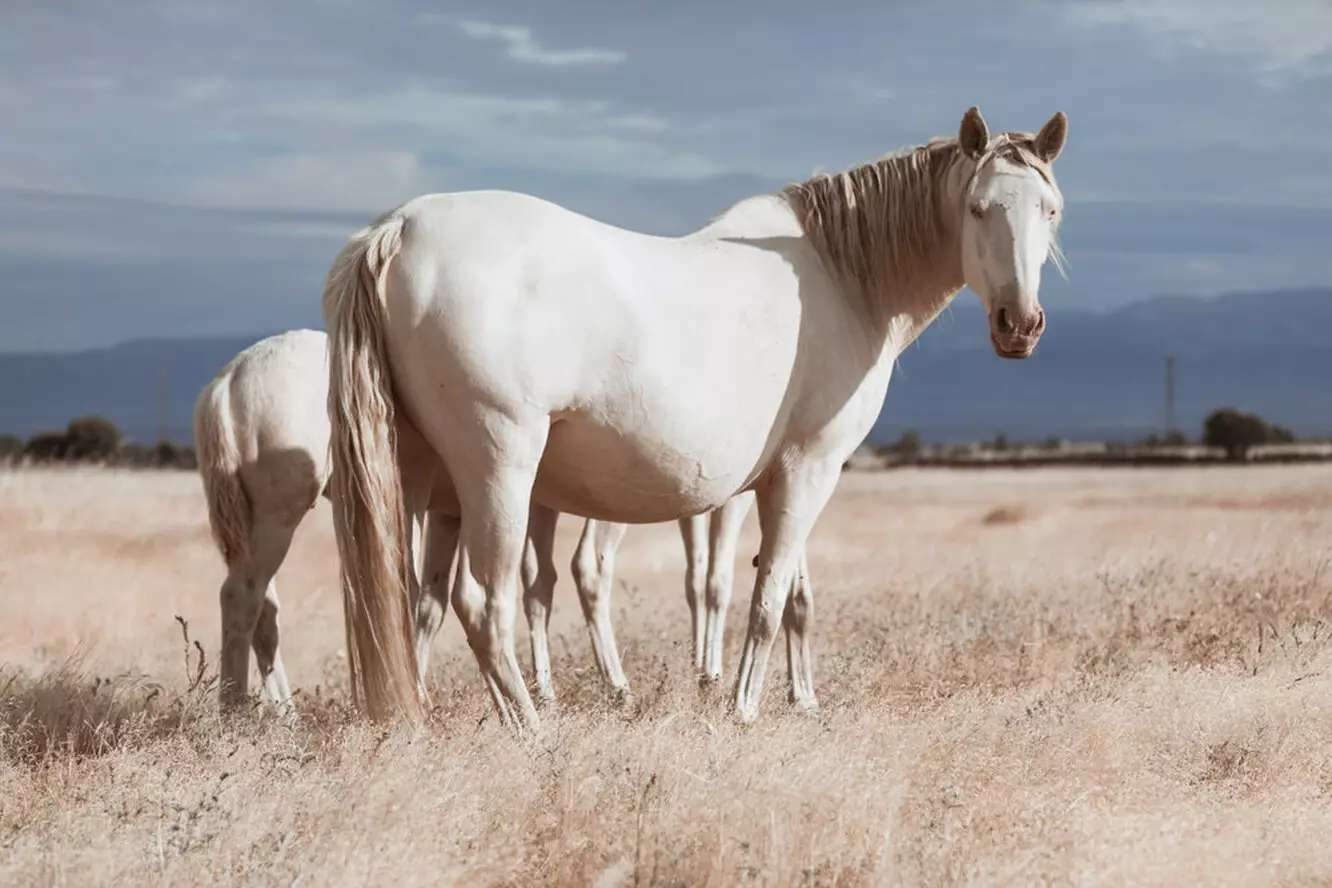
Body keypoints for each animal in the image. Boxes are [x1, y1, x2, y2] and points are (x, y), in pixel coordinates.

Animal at [193, 330, 767, 713]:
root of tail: (225, 383)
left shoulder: (459, 511)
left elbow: (440, 601)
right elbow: (697, 579)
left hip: (259, 522)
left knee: (263, 607)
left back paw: (282, 713)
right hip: (280, 514)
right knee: (241, 597)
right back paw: (234, 712)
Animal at [319, 104, 1060, 729]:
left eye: (1050, 211)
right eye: (978, 209)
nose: (1019, 325)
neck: (842, 276)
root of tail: (399, 229)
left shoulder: (778, 480)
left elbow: (792, 595)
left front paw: (800, 698)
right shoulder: (810, 469)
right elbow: (766, 599)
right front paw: (744, 710)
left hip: (423, 485)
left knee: (413, 604)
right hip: (498, 474)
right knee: (485, 604)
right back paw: (532, 729)